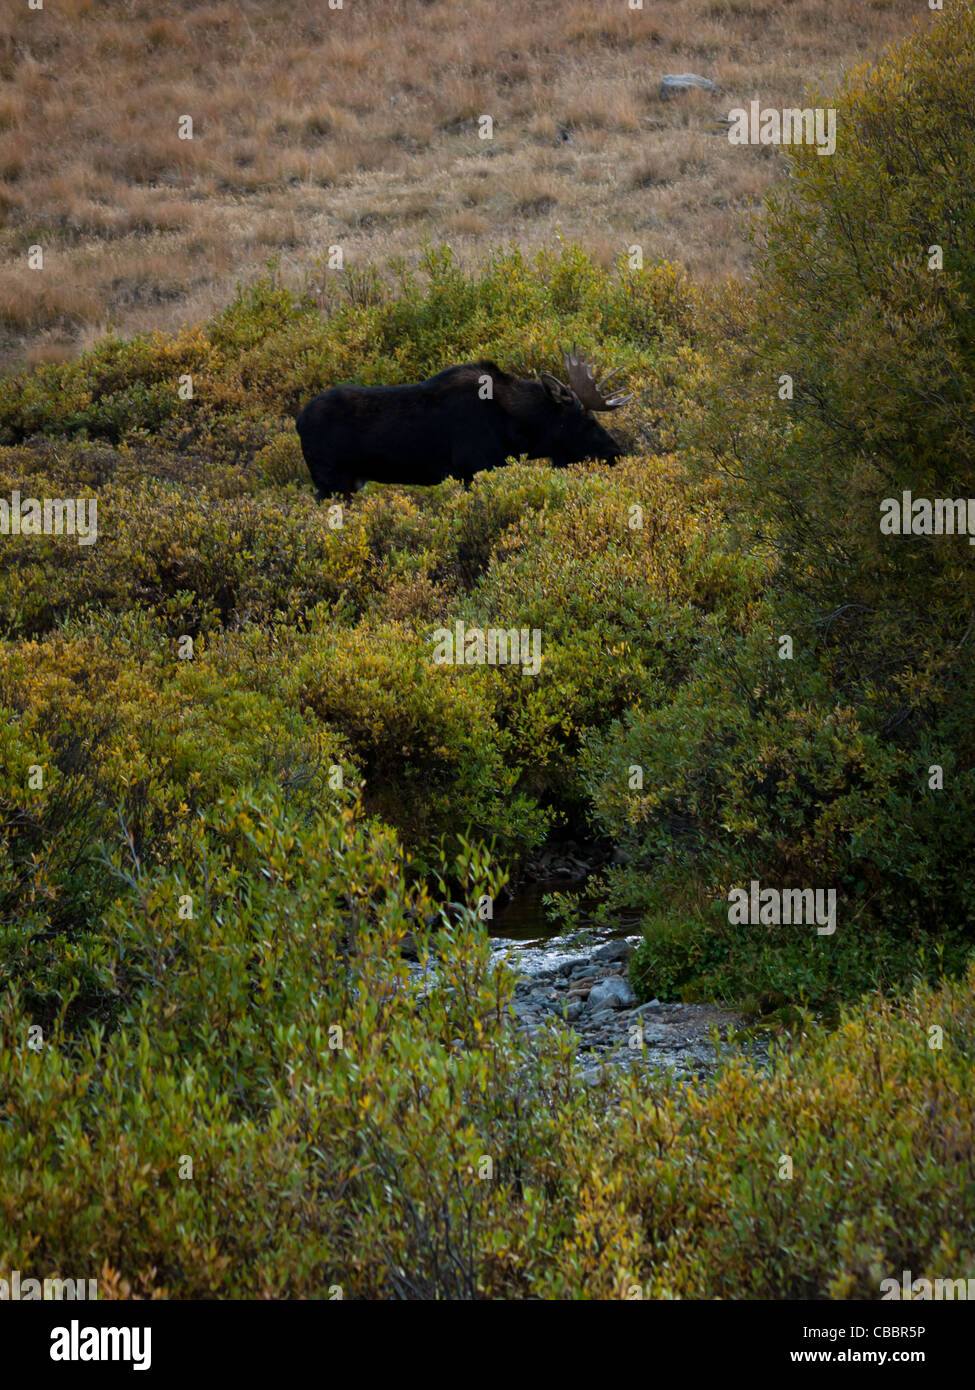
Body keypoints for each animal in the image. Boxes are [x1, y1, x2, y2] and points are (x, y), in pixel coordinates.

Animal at [295, 347, 631, 500]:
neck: (517, 432)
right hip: (330, 483)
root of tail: (298, 422)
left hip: (350, 483)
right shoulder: (472, 470)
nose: (616, 453)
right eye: (587, 419)